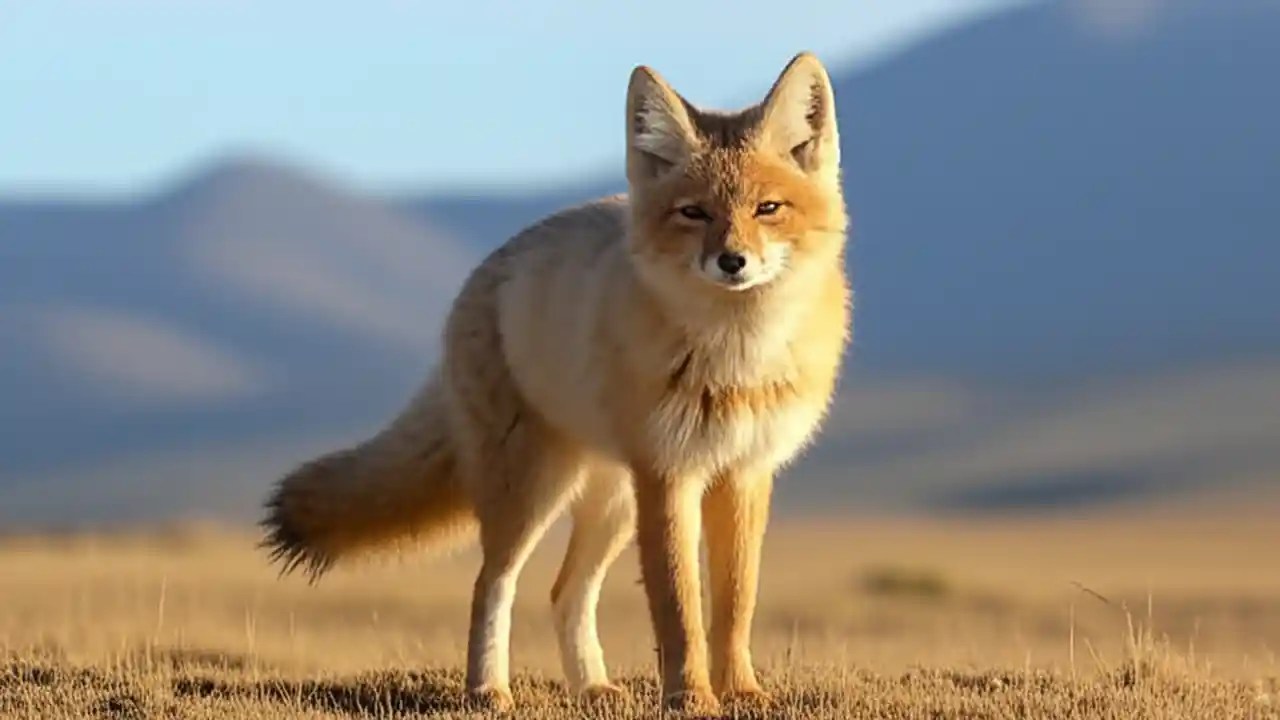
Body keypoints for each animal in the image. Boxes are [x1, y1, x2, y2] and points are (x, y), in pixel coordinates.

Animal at [262, 52, 850, 713]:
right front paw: (690, 698)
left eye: (768, 209)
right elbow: (678, 608)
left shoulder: (746, 471)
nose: (732, 261)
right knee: (493, 585)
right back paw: (488, 689)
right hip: (534, 489)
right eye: (693, 212)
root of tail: (484, 271)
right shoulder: (669, 472)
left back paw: (591, 685)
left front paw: (742, 692)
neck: (737, 359)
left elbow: (734, 603)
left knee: (565, 591)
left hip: (614, 501)